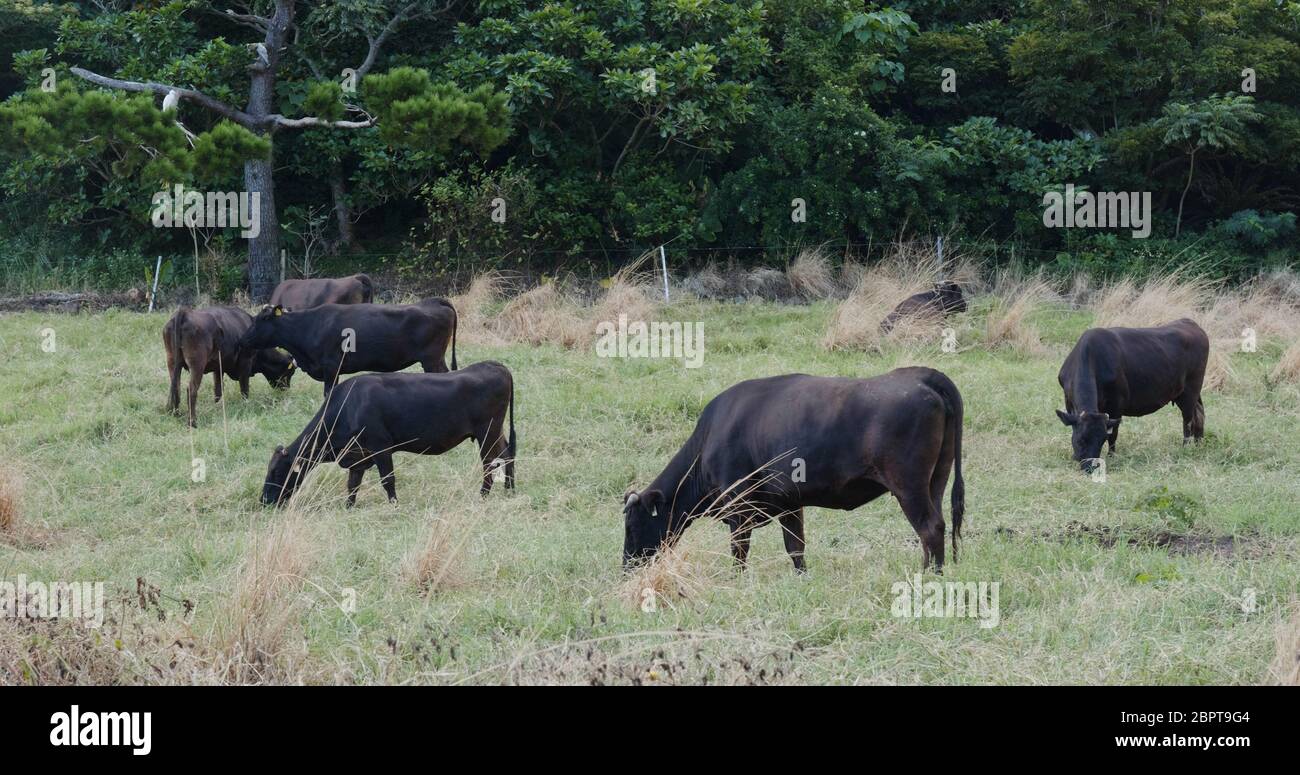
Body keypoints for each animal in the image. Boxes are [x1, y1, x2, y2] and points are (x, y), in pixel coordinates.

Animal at [164, 306, 295, 427]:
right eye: (290, 372)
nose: (286, 388)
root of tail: (185, 312)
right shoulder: (246, 362)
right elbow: (244, 389)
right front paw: (246, 406)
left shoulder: (218, 368)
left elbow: (218, 391)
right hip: (197, 365)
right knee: (191, 390)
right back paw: (192, 422)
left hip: (172, 362)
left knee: (175, 386)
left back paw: (175, 413)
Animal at [238, 299, 458, 397]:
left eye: (260, 319)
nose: (242, 340)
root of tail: (434, 301)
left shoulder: (331, 367)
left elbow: (328, 393)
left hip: (431, 359)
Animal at [260, 362, 516, 507]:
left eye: (276, 472)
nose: (264, 501)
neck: (349, 405)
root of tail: (494, 365)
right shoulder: (358, 455)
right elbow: (352, 484)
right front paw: (348, 506)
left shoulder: (380, 447)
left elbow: (387, 479)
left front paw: (394, 505)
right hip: (496, 432)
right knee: (508, 454)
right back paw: (509, 489)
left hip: (487, 432)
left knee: (489, 462)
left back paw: (483, 495)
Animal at [622, 367, 965, 574]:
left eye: (633, 526)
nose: (627, 566)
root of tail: (919, 374)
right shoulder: (789, 503)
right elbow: (795, 547)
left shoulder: (739, 507)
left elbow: (739, 551)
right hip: (935, 480)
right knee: (937, 523)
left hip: (908, 486)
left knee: (929, 527)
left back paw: (929, 575)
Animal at [1056, 318, 1209, 472]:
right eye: (1081, 439)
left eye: (1102, 440)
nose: (1090, 467)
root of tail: (1189, 322)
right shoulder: (1068, 401)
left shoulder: (1117, 404)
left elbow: (1114, 434)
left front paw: (1111, 456)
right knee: (1199, 413)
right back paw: (1198, 444)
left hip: (1191, 389)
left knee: (1188, 420)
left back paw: (1185, 447)